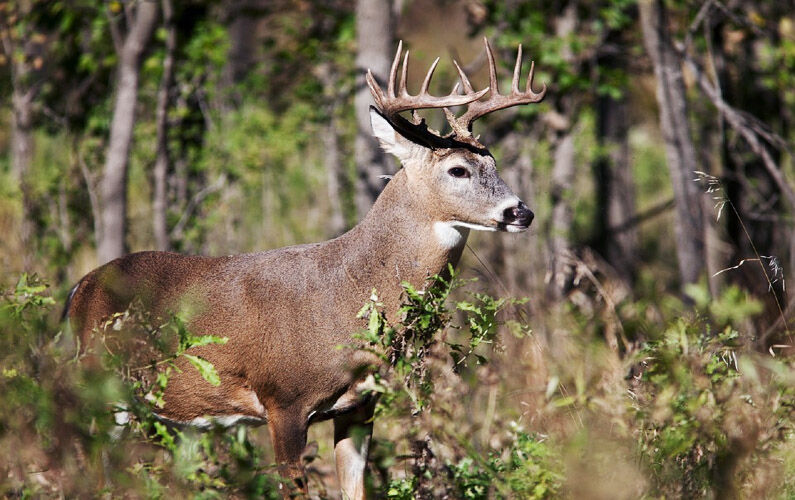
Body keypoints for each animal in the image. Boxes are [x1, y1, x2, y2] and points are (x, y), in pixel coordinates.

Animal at [63, 38, 545, 498]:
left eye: (494, 163)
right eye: (458, 170)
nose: (522, 212)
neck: (347, 294)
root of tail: (79, 289)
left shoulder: (358, 407)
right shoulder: (284, 400)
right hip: (99, 383)